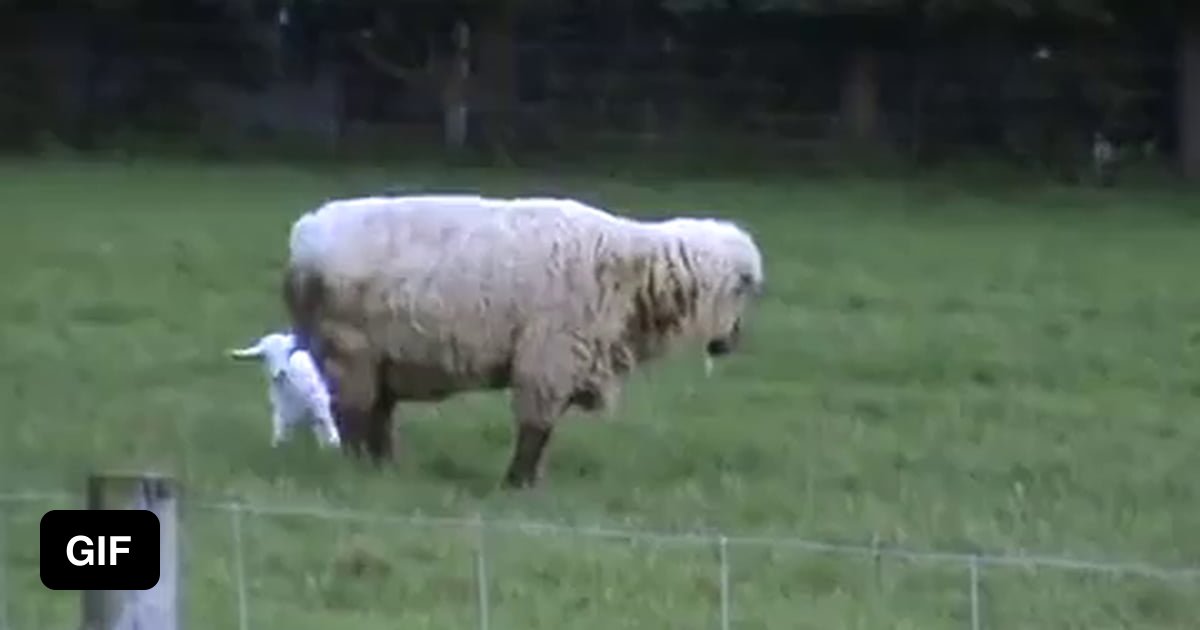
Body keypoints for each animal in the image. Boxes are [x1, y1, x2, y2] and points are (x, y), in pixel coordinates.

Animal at [281, 194, 765, 488]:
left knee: (376, 415)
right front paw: (518, 484)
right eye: (744, 289)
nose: (731, 342)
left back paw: (385, 469)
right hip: (349, 350)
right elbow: (536, 431)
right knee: (354, 416)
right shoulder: (548, 361)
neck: (633, 272)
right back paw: (361, 472)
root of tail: (304, 234)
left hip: (379, 358)